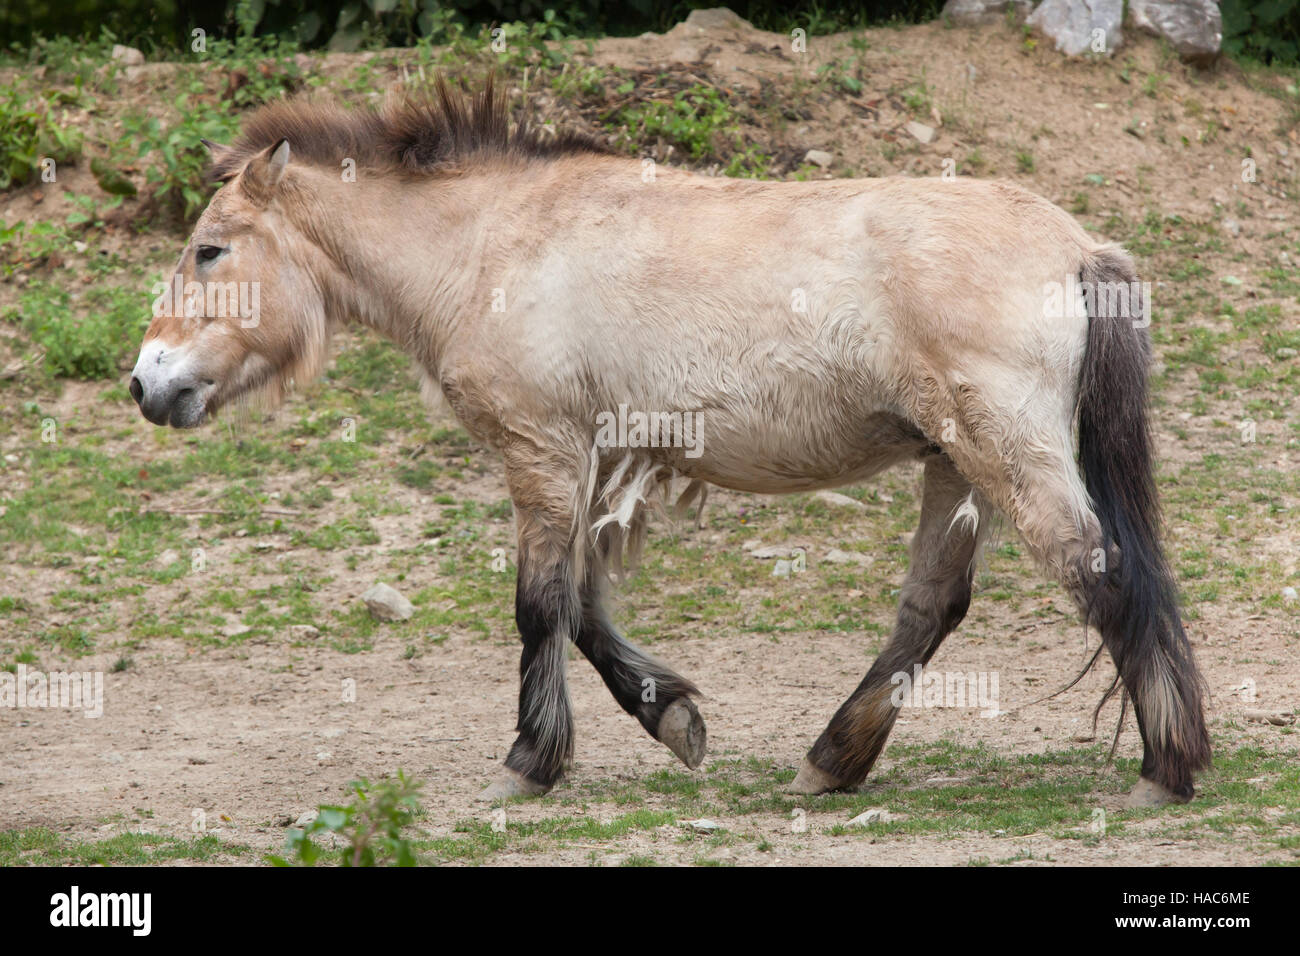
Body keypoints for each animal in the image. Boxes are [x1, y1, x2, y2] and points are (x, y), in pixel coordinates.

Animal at [128, 77, 1210, 806]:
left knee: (1102, 573)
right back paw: (831, 761)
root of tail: (1079, 247)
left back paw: (1164, 769)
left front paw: (530, 762)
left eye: (210, 249)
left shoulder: (541, 452)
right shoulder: (590, 465)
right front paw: (672, 715)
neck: (491, 245)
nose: (146, 381)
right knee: (931, 608)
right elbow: (584, 606)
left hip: (1004, 453)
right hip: (953, 463)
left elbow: (540, 604)